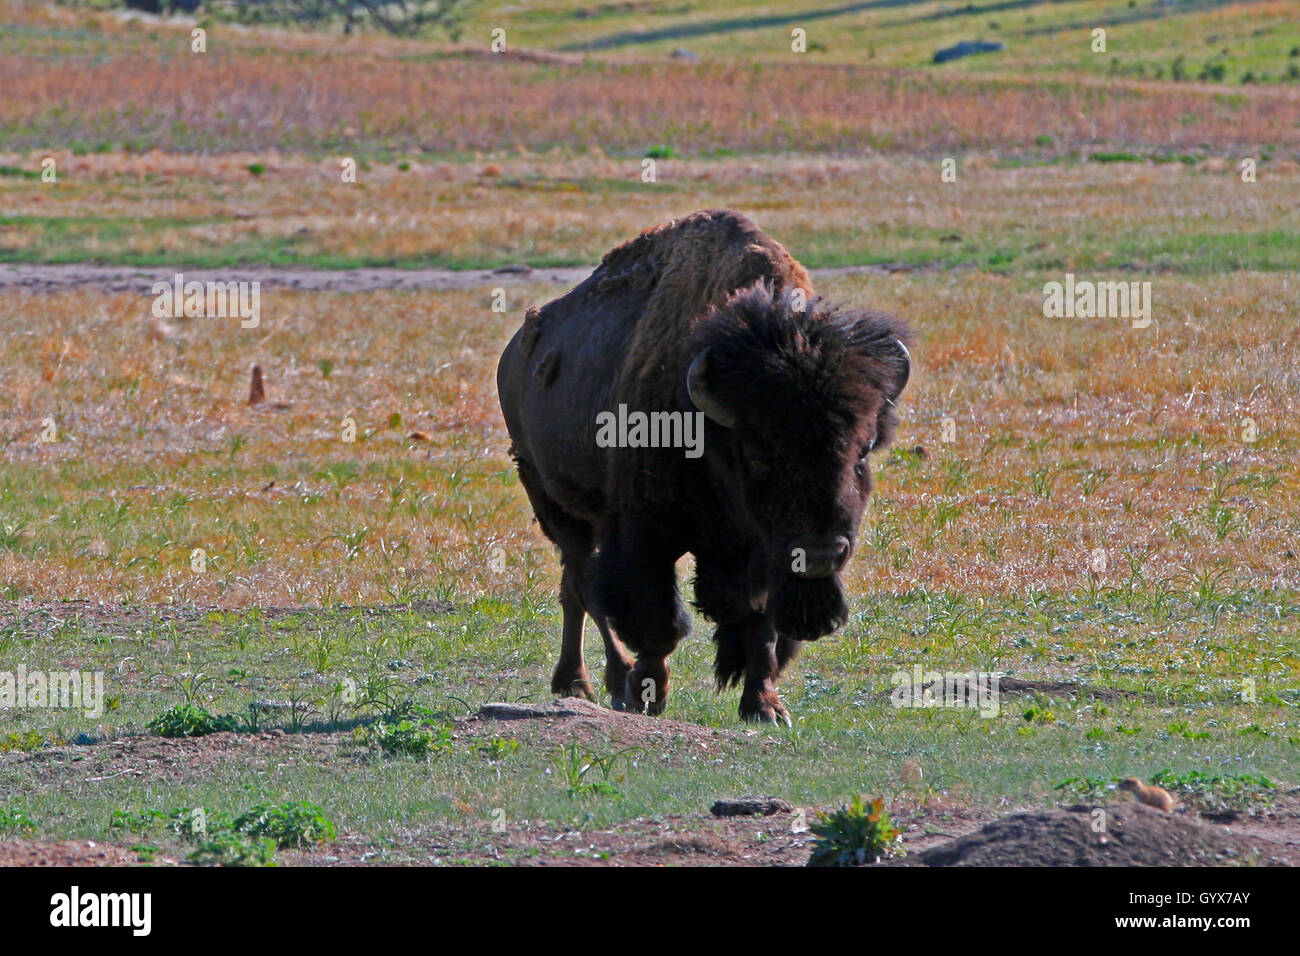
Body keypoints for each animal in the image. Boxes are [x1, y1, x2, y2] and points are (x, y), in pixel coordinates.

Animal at [496, 210, 911, 723]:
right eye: (757, 455)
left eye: (863, 450)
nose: (819, 555)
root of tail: (517, 349)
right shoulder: (644, 532)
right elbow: (657, 622)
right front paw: (649, 694)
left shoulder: (761, 551)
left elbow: (760, 626)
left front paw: (765, 707)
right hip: (551, 498)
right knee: (581, 586)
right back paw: (589, 682)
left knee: (578, 588)